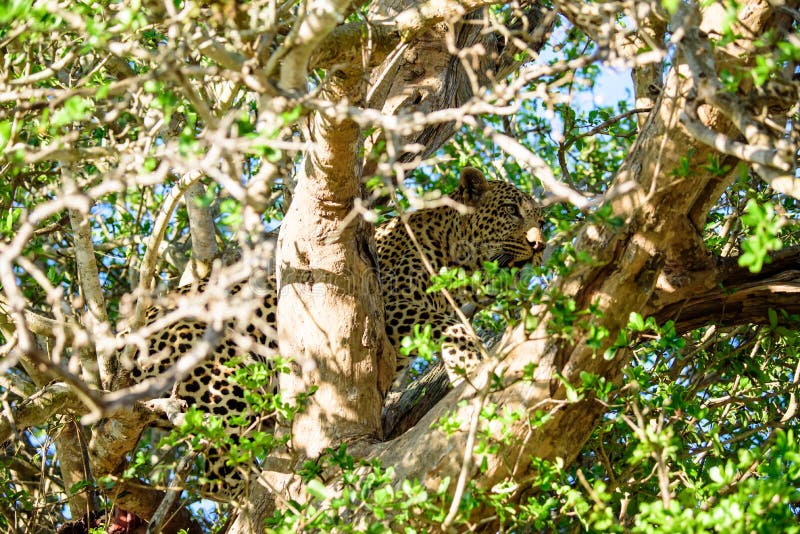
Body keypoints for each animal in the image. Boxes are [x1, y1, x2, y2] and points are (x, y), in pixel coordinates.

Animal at [129, 166, 545, 497]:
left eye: (542, 219)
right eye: (511, 211)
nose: (539, 245)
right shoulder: (391, 302)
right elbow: (452, 324)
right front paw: (474, 360)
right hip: (226, 374)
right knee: (218, 474)